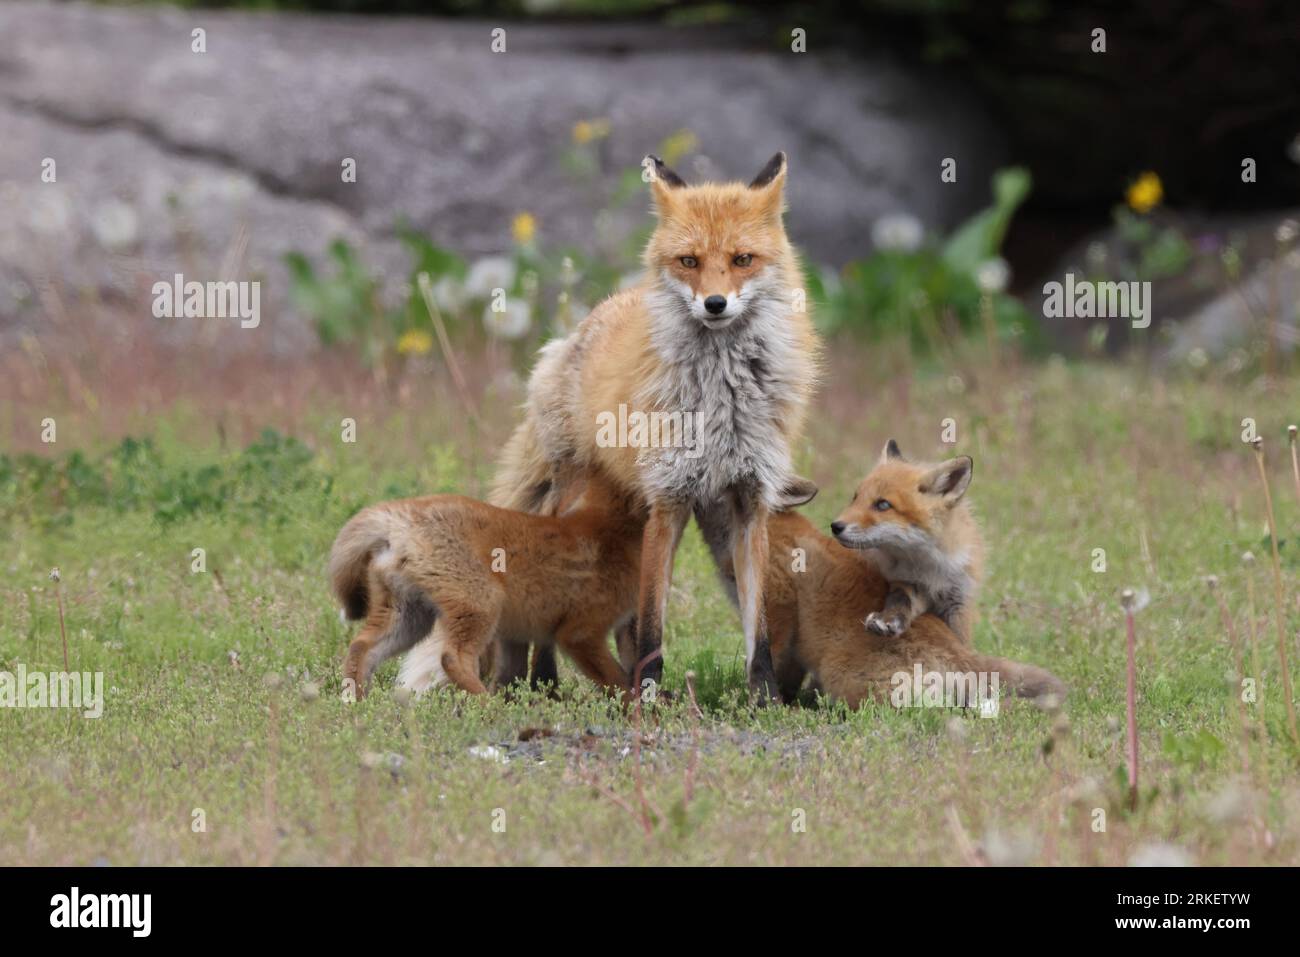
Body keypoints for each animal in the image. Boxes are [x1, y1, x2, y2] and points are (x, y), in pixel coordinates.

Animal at [328, 472, 643, 700]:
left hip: (410, 618)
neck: (612, 532)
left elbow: (511, 677)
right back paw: (485, 705)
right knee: (452, 658)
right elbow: (620, 682)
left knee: (361, 647)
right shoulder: (579, 633)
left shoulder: (516, 635)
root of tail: (403, 513)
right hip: (483, 604)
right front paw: (638, 714)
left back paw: (356, 702)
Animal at [490, 150, 820, 701]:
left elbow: (759, 630)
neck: (721, 397)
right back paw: (545, 682)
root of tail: (587, 322)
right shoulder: (669, 500)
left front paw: (766, 700)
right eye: (689, 262)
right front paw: (645, 699)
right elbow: (652, 627)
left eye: (742, 259)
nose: (715, 304)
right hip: (579, 492)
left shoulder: (749, 501)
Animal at [829, 439, 983, 643]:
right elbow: (900, 601)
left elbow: (960, 639)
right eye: (855, 498)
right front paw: (887, 619)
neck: (929, 566)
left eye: (883, 505)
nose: (835, 526)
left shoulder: (959, 598)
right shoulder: (906, 581)